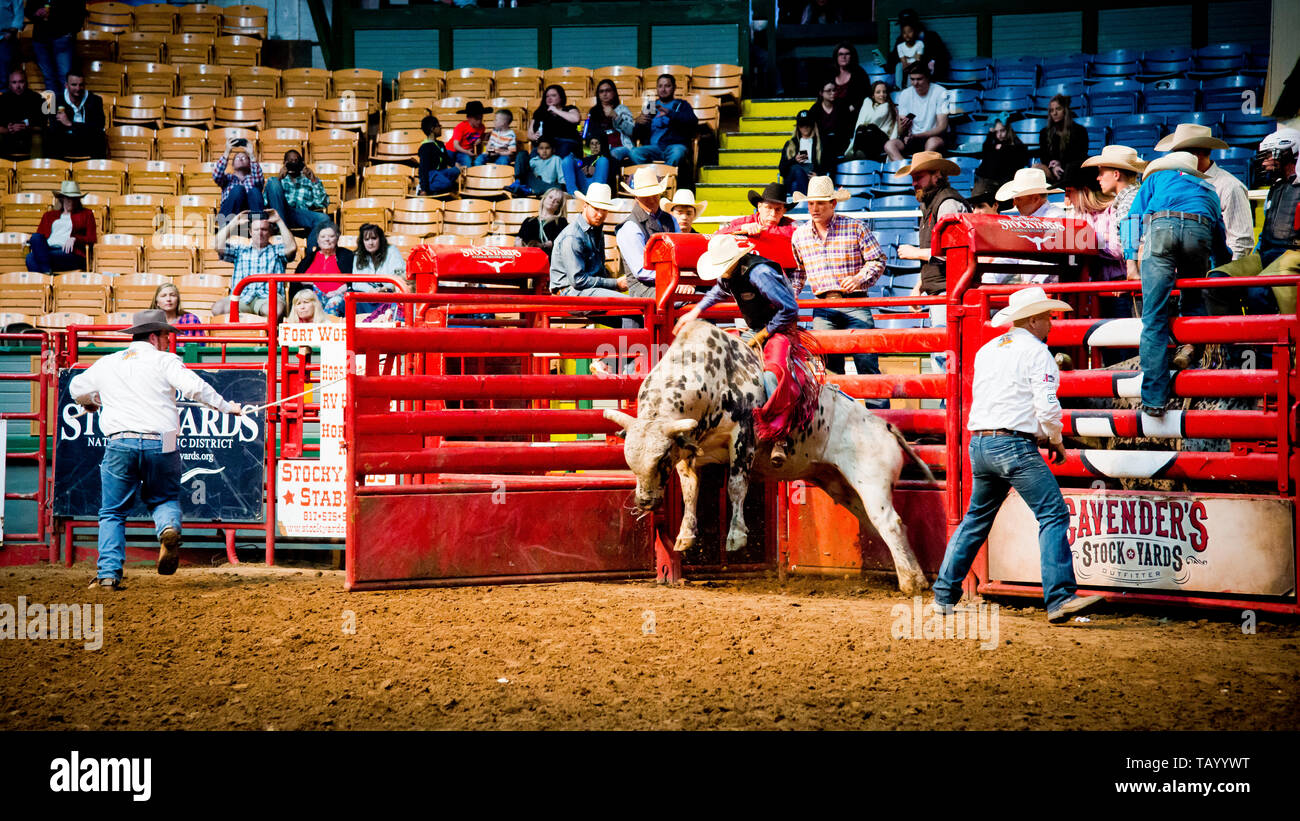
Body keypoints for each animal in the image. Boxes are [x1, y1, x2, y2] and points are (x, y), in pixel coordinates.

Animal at [604, 319, 934, 595]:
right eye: (630, 462)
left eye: (661, 459)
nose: (645, 501)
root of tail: (887, 427)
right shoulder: (689, 447)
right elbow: (690, 488)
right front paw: (685, 536)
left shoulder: (744, 435)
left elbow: (737, 486)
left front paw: (736, 537)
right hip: (842, 485)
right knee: (882, 524)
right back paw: (915, 577)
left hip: (873, 483)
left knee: (890, 522)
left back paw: (910, 583)